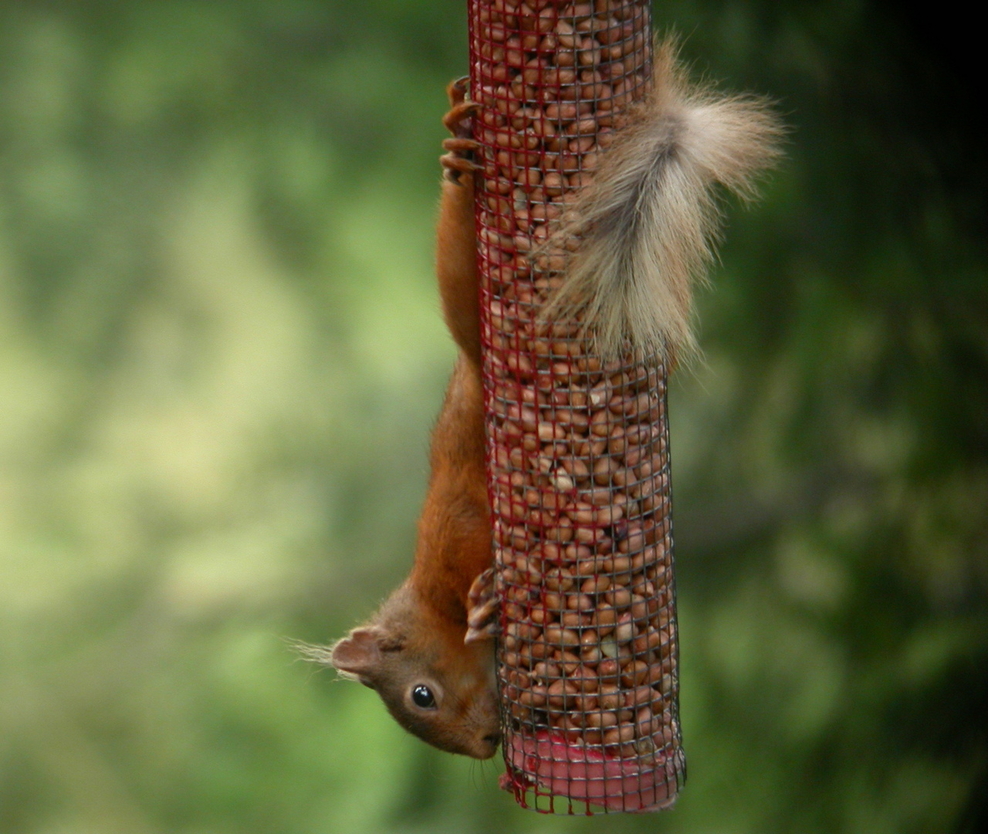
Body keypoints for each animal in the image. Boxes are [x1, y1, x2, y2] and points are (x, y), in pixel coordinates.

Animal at [300, 41, 781, 760]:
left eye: (421, 696)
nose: (486, 747)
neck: (432, 598)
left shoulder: (457, 537)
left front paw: (491, 604)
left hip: (471, 315)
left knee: (459, 258)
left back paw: (459, 148)